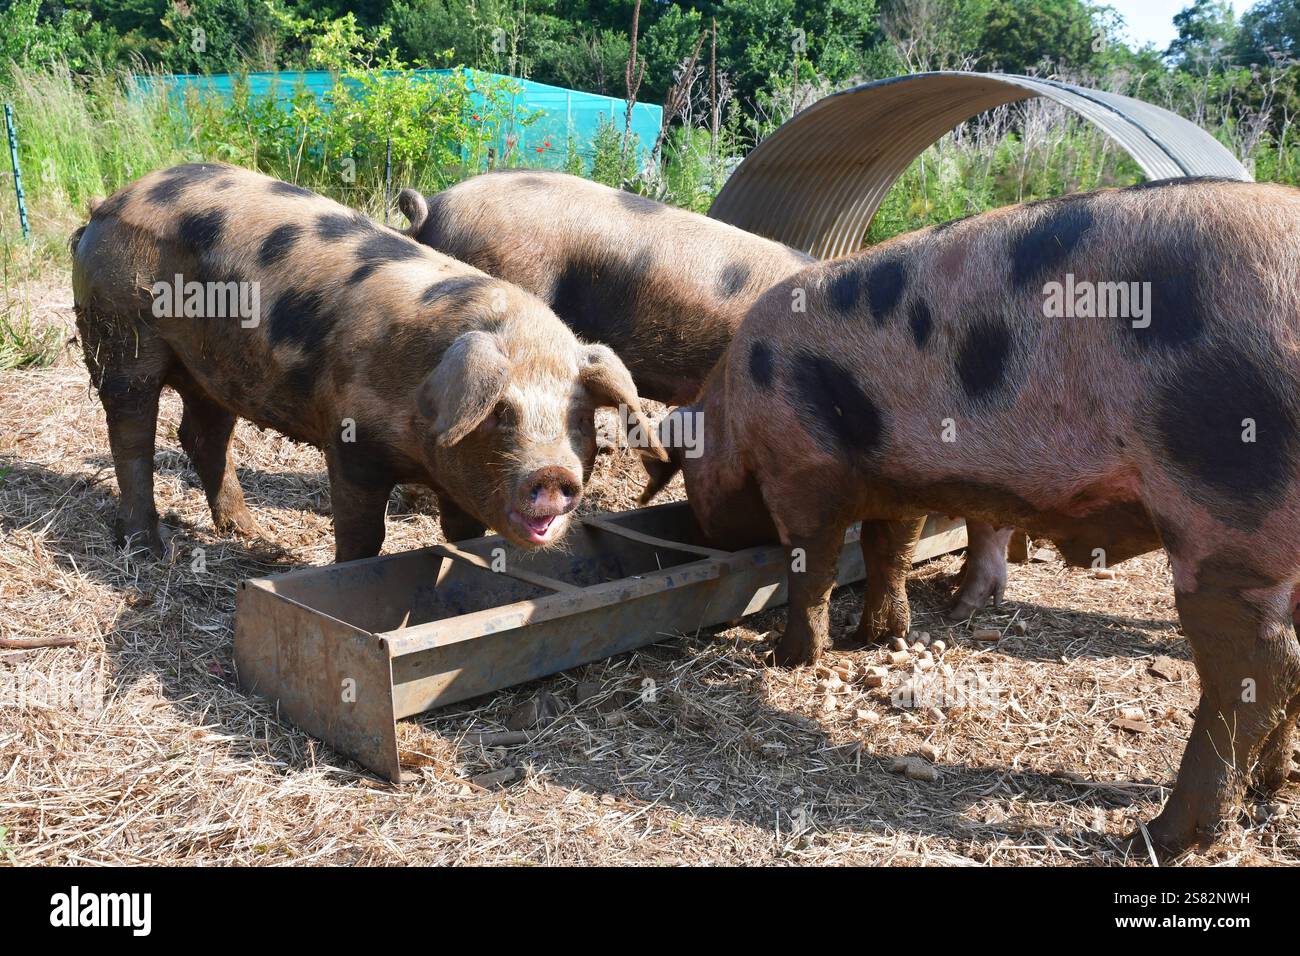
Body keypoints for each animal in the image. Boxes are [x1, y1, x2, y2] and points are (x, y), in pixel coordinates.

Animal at [70, 162, 663, 560]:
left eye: (578, 417)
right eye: (499, 411)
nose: (554, 472)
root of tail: (107, 202)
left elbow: (463, 532)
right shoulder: (350, 441)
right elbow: (362, 533)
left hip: (212, 368)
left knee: (202, 436)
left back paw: (253, 534)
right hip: (120, 331)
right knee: (132, 432)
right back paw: (147, 547)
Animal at [637, 177, 1300, 855]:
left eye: (690, 470)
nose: (703, 529)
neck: (736, 401)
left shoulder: (803, 471)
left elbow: (813, 570)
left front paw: (785, 658)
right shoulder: (895, 480)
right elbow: (886, 550)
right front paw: (876, 638)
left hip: (1224, 501)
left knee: (1258, 670)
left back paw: (1158, 837)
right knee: (1286, 674)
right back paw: (1269, 791)